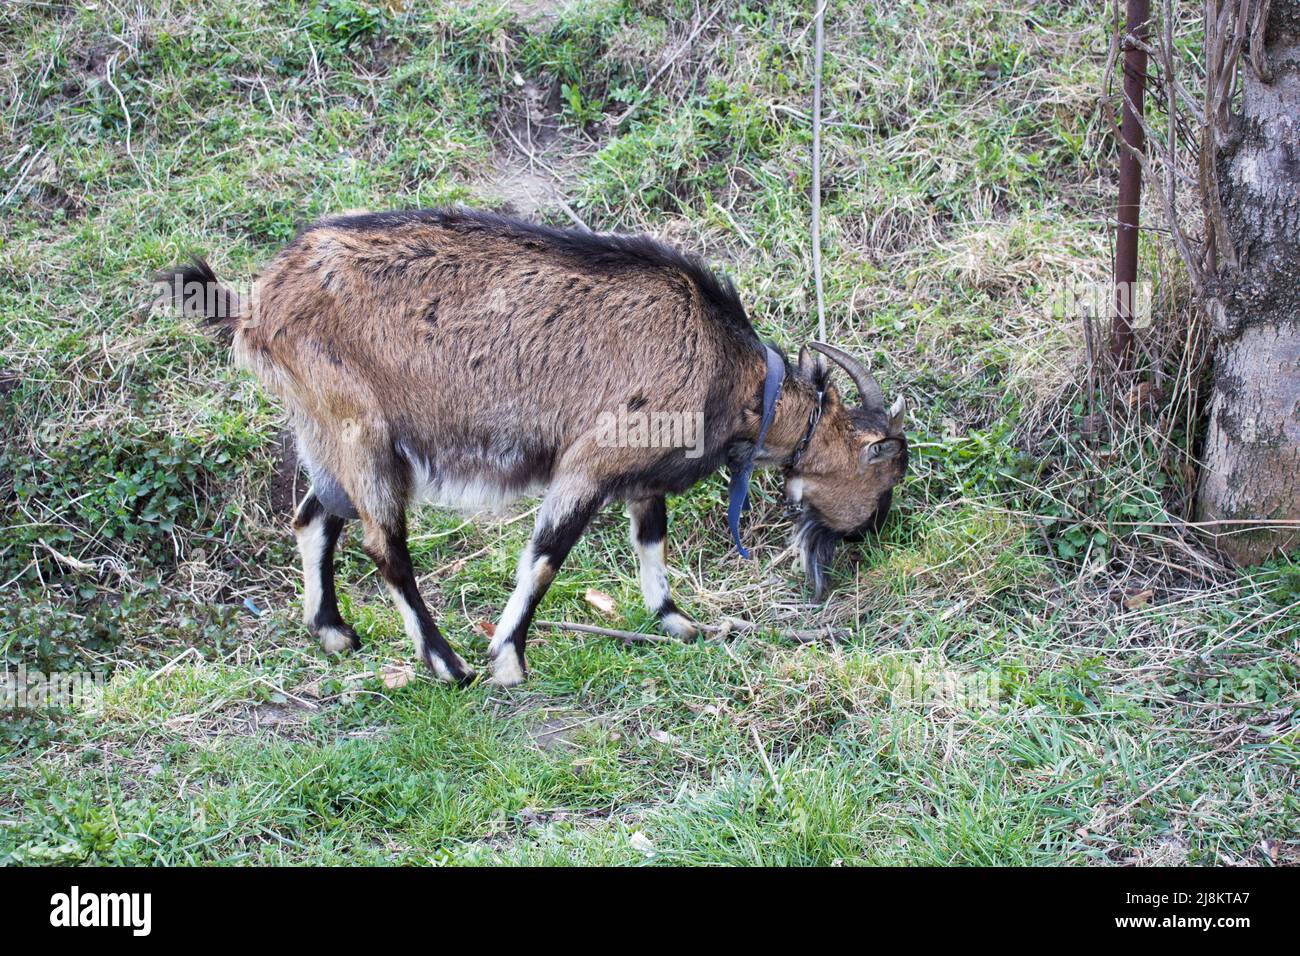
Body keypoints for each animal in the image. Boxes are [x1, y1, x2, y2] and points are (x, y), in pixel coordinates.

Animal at [163, 208, 908, 685]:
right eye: (884, 474)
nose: (868, 534)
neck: (733, 373)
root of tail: (257, 301)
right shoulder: (591, 459)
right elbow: (547, 556)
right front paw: (509, 658)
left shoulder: (640, 475)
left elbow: (651, 539)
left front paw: (677, 621)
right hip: (360, 426)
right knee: (384, 547)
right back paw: (448, 664)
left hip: (323, 427)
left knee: (315, 517)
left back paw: (333, 631)